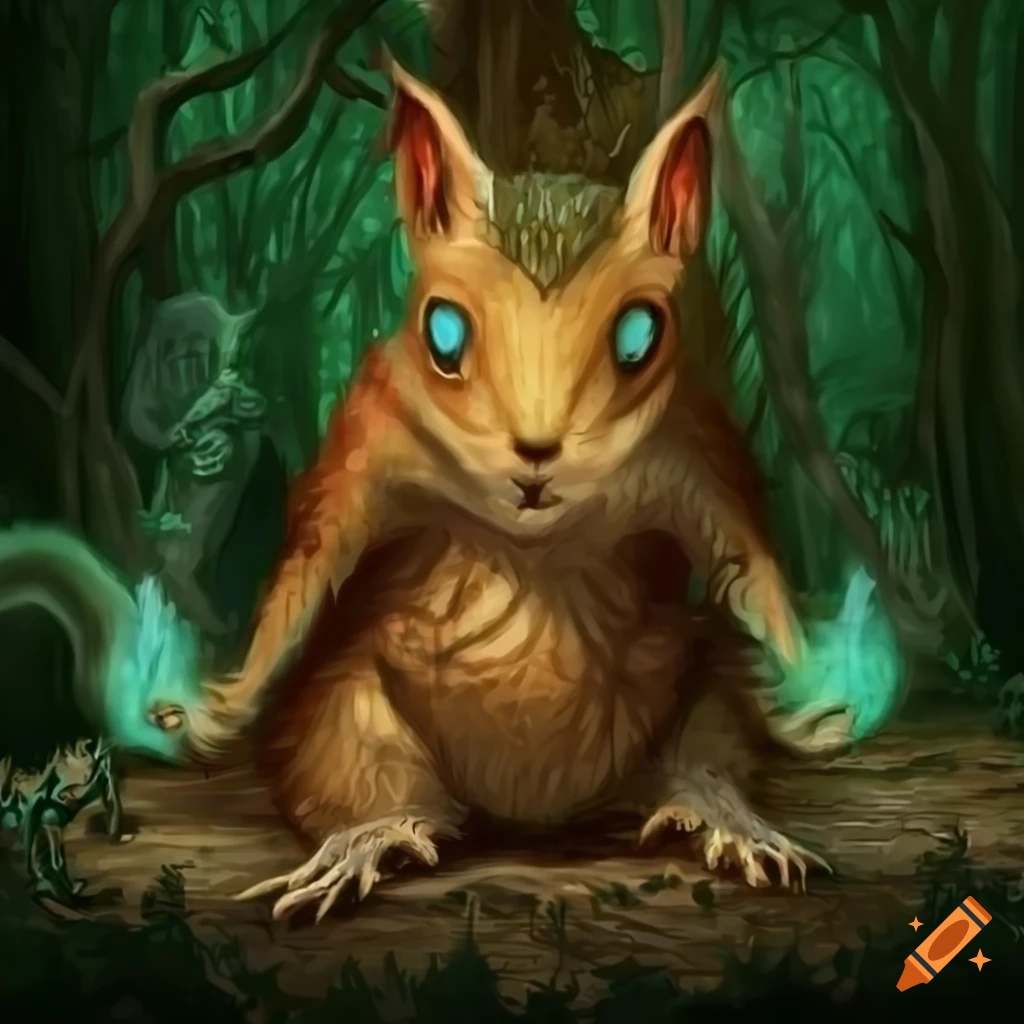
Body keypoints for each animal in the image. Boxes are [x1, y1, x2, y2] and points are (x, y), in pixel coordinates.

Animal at [0, 60, 857, 922]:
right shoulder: (369, 426)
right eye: (443, 333)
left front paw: (810, 699)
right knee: (384, 789)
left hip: (696, 688)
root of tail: (537, 814)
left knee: (707, 742)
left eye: (639, 336)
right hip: (346, 718)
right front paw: (220, 705)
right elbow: (305, 569)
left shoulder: (695, 439)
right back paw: (367, 837)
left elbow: (746, 565)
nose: (536, 455)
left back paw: (724, 812)